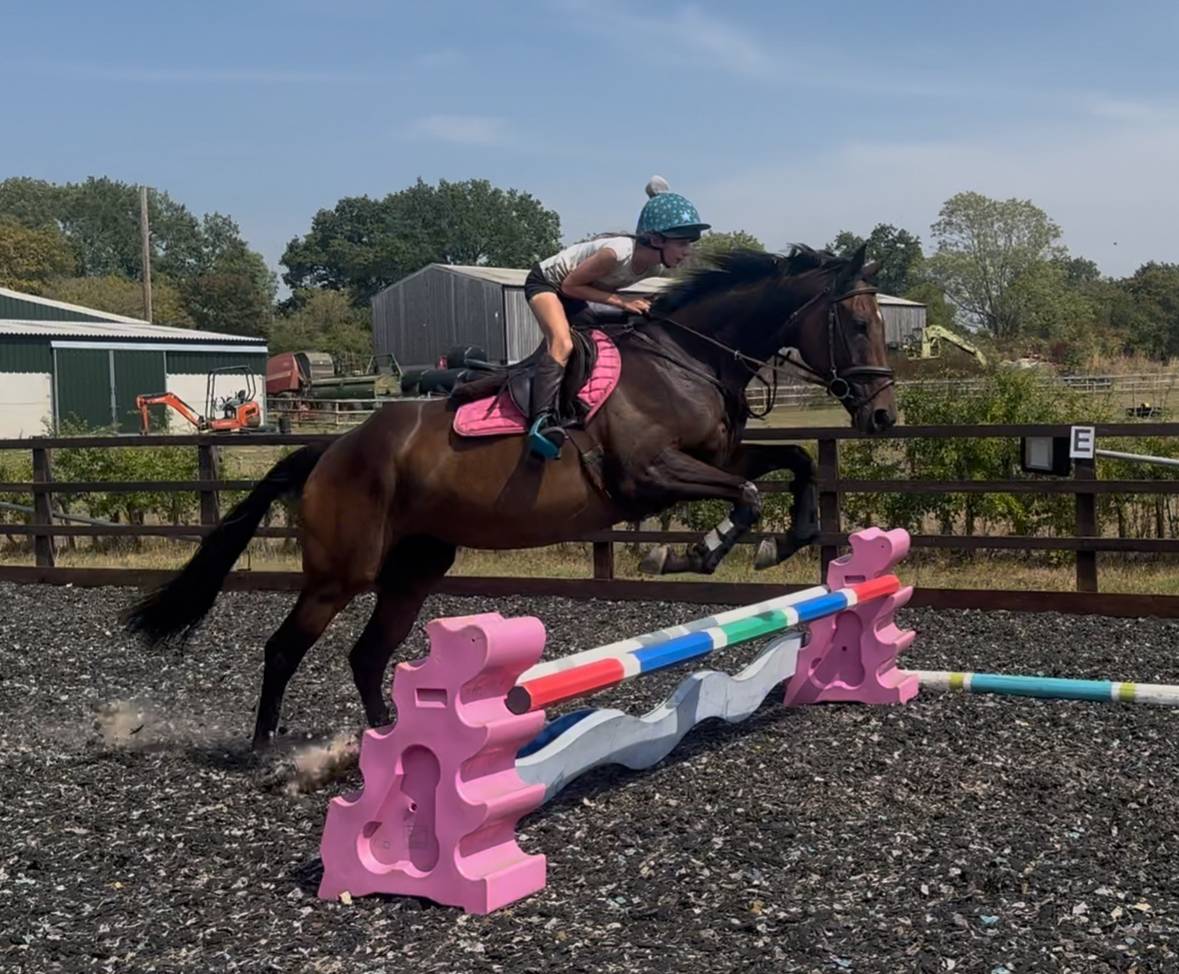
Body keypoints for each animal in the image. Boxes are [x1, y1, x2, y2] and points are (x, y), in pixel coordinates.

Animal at [123, 243, 897, 749]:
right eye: (858, 323)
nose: (884, 416)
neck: (687, 358)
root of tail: (332, 450)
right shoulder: (647, 476)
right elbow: (746, 496)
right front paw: (690, 555)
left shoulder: (718, 454)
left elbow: (794, 463)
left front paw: (784, 542)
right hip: (340, 572)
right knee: (285, 648)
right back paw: (263, 750)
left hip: (416, 566)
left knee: (368, 655)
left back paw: (385, 743)